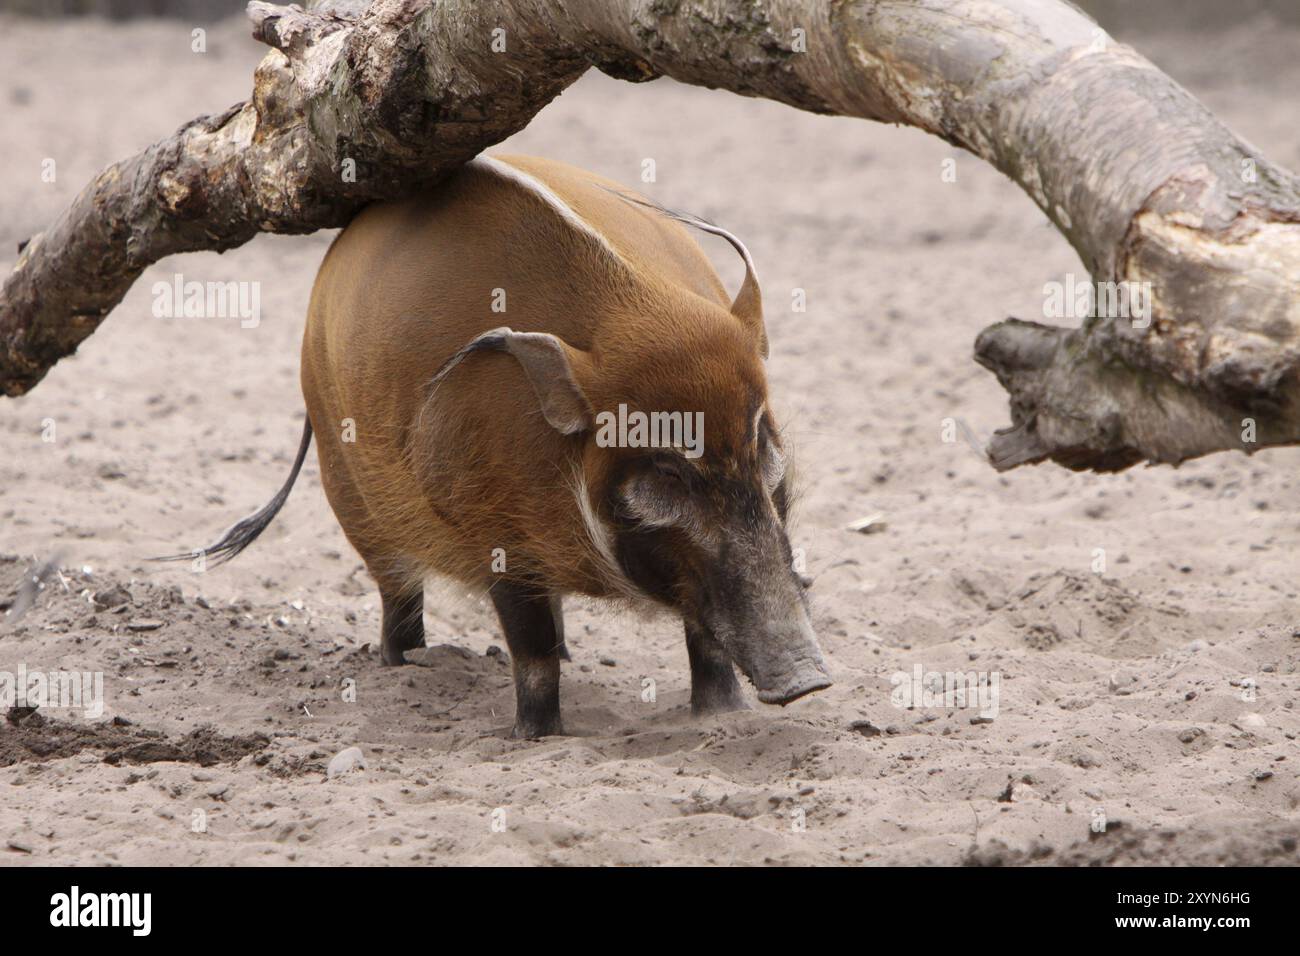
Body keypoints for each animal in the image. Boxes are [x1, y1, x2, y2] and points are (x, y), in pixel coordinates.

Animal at [163, 155, 831, 738]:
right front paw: (534, 738)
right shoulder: (502, 538)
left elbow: (704, 642)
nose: (809, 679)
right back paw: (402, 668)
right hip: (352, 500)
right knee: (398, 603)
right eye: (667, 470)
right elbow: (531, 655)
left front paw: (722, 718)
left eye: (761, 443)